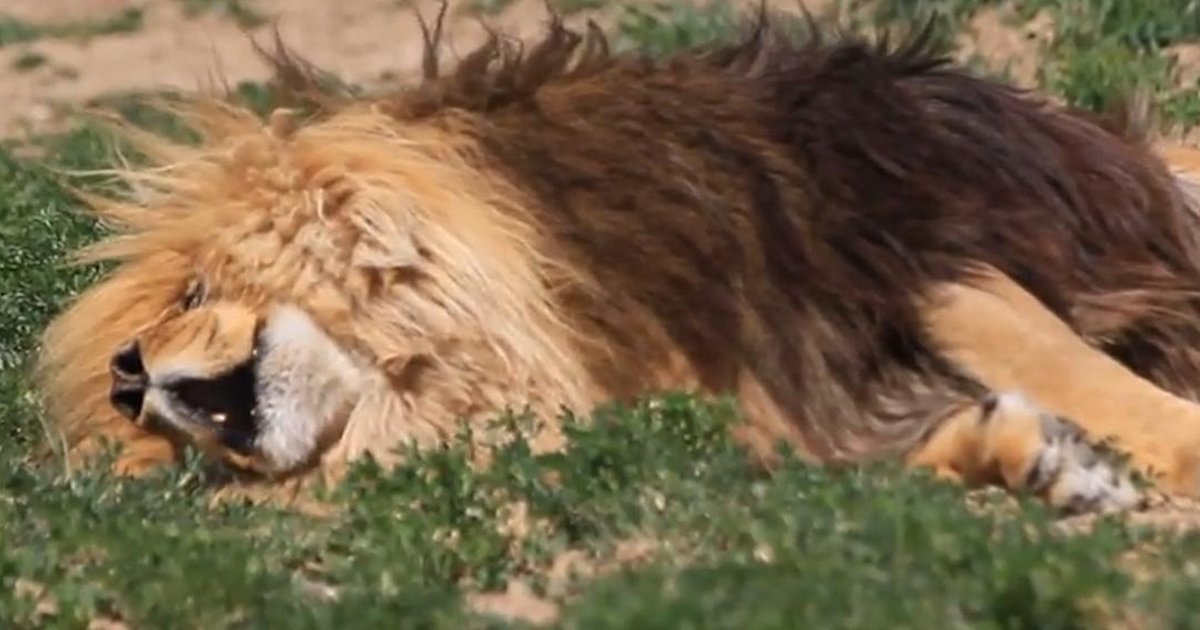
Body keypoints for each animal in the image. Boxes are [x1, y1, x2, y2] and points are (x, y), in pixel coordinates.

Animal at [31, 6, 1200, 514]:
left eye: (194, 290)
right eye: (145, 429)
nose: (128, 378)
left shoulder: (910, 254)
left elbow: (1084, 377)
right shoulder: (774, 404)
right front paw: (1045, 462)